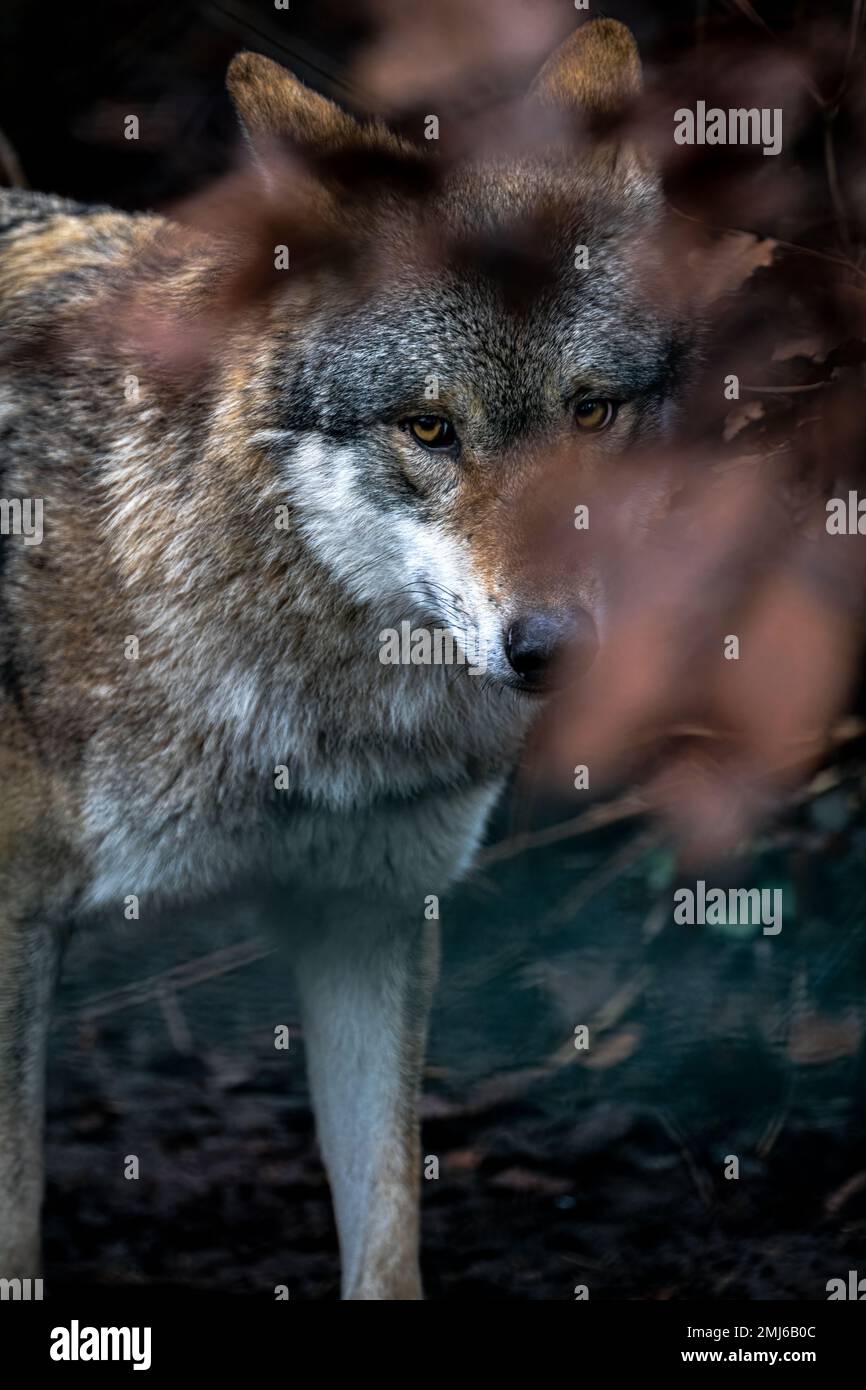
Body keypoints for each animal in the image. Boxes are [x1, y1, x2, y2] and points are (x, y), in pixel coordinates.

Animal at [0, 20, 693, 1298]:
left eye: (590, 412)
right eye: (428, 428)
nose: (548, 646)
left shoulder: (366, 909)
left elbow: (384, 1235)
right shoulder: (16, 927)